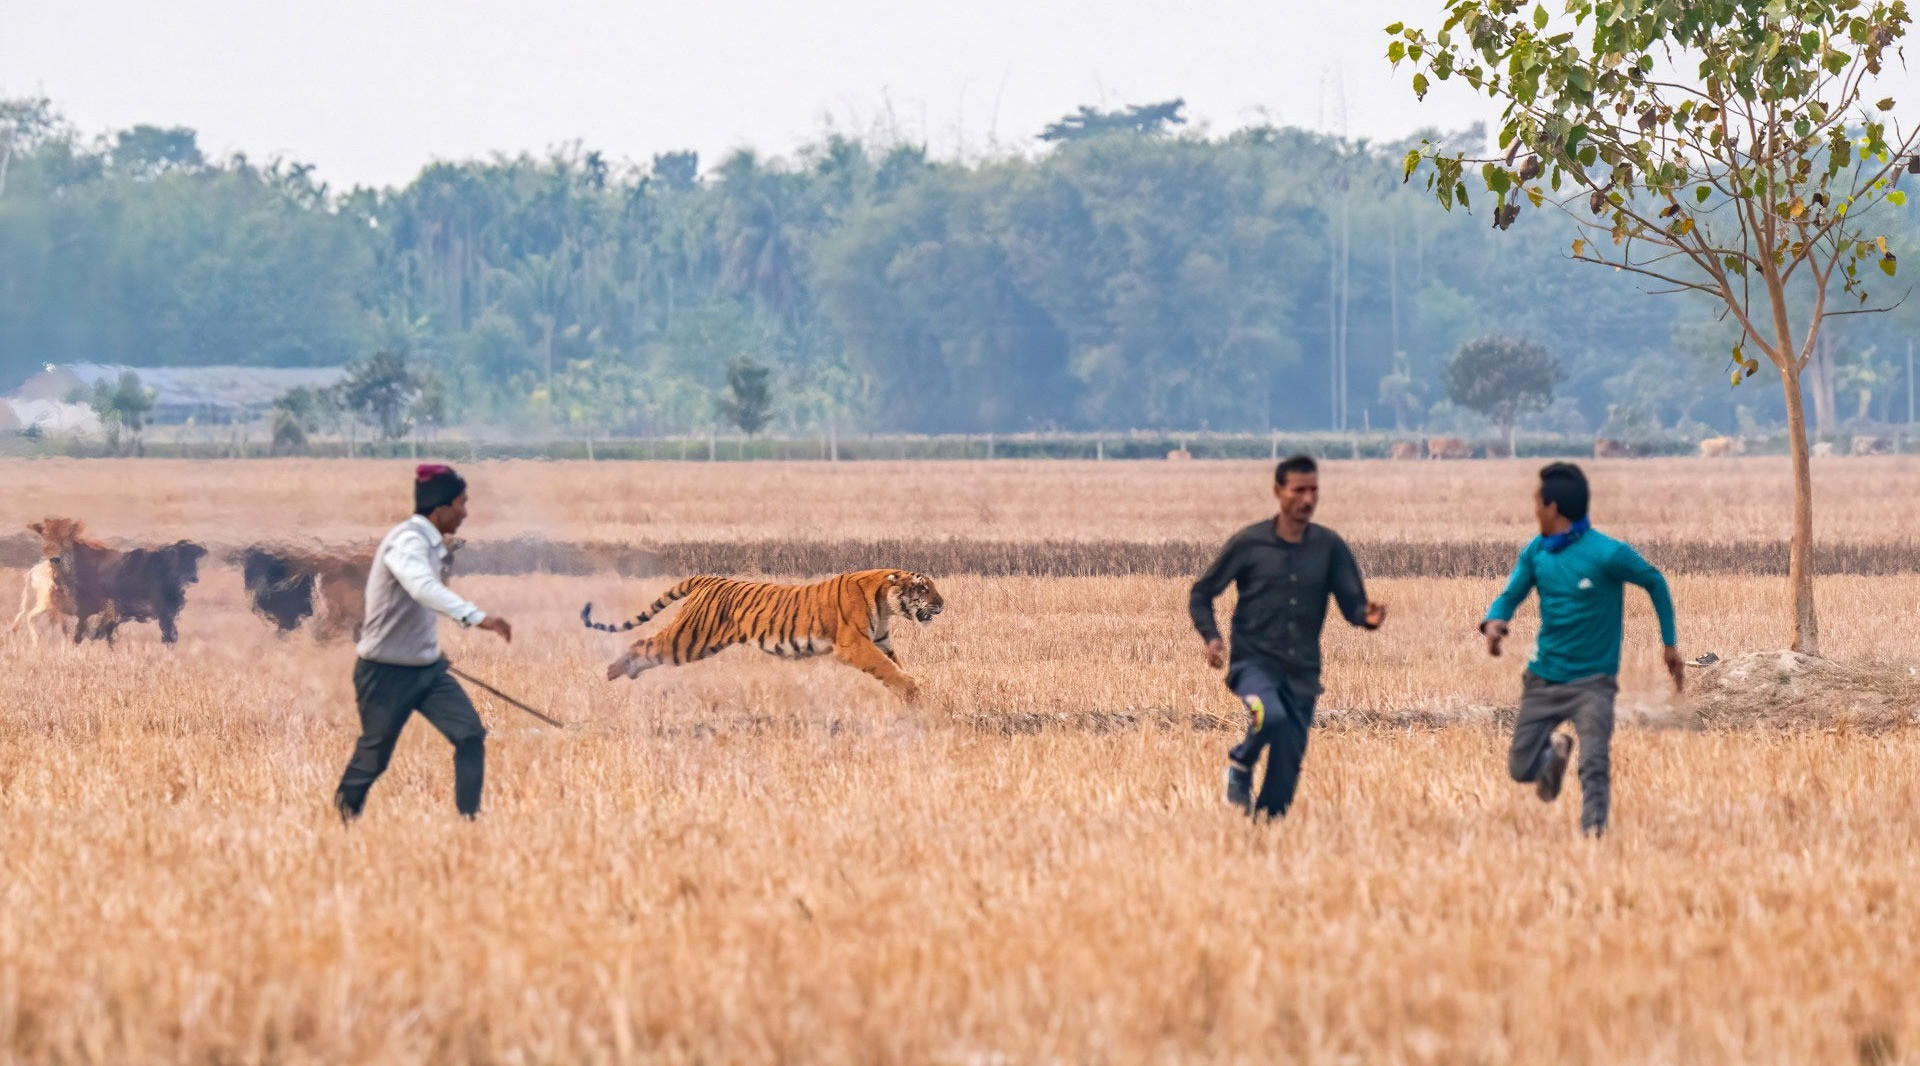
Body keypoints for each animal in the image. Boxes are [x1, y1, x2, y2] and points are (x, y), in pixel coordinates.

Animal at [581, 569, 945, 699]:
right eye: (922, 588)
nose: (942, 603)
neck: (886, 604)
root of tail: (706, 578)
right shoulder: (853, 644)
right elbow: (888, 669)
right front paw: (911, 691)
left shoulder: (880, 642)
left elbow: (894, 666)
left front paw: (915, 698)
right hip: (689, 639)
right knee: (645, 644)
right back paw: (613, 670)